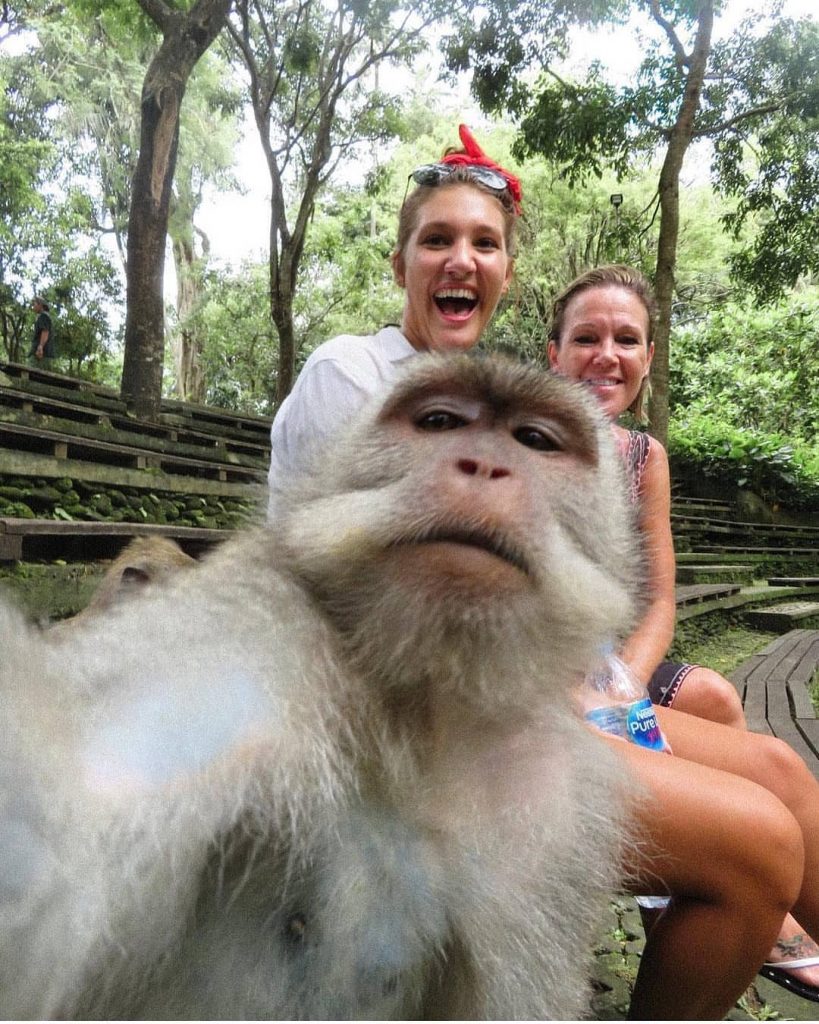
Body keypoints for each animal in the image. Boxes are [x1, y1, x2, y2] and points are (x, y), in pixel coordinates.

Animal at [0, 355, 641, 1020]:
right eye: (439, 422)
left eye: (535, 440)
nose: (485, 466)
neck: (419, 715)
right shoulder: (245, 630)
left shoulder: (562, 818)